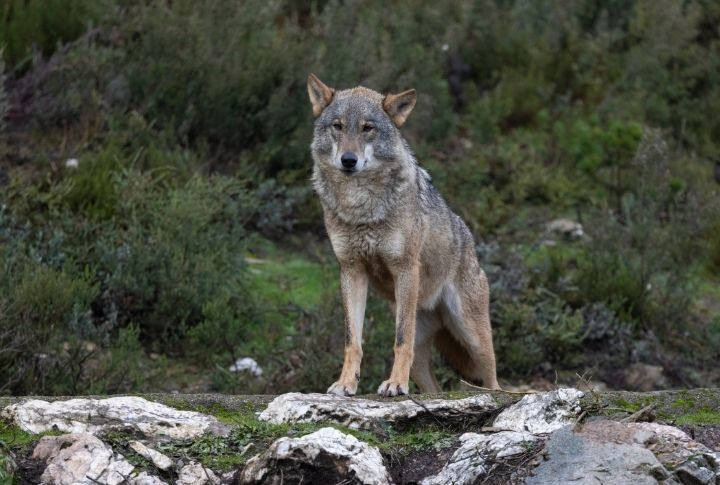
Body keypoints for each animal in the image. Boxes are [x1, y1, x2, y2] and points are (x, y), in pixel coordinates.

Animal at [308, 74, 500, 396]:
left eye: (367, 128)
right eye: (338, 126)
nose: (348, 160)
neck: (360, 208)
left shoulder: (405, 268)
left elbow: (400, 341)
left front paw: (396, 383)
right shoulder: (351, 271)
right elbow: (352, 341)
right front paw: (346, 383)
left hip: (472, 336)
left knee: (493, 380)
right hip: (425, 357)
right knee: (433, 386)